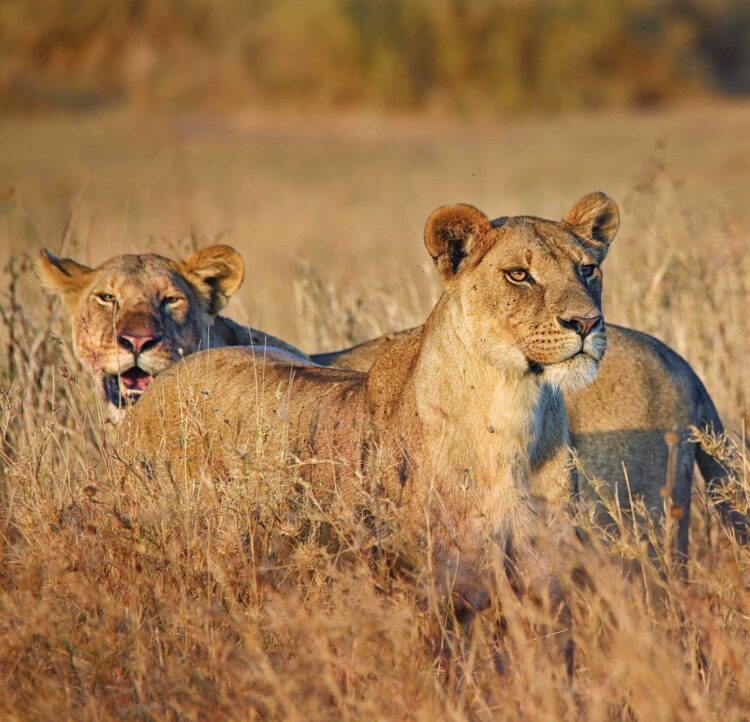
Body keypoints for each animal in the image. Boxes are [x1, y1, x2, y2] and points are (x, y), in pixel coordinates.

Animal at [128, 192, 621, 672]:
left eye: (587, 268)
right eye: (519, 275)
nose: (586, 323)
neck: (513, 409)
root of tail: (164, 381)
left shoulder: (545, 596)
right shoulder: (434, 601)